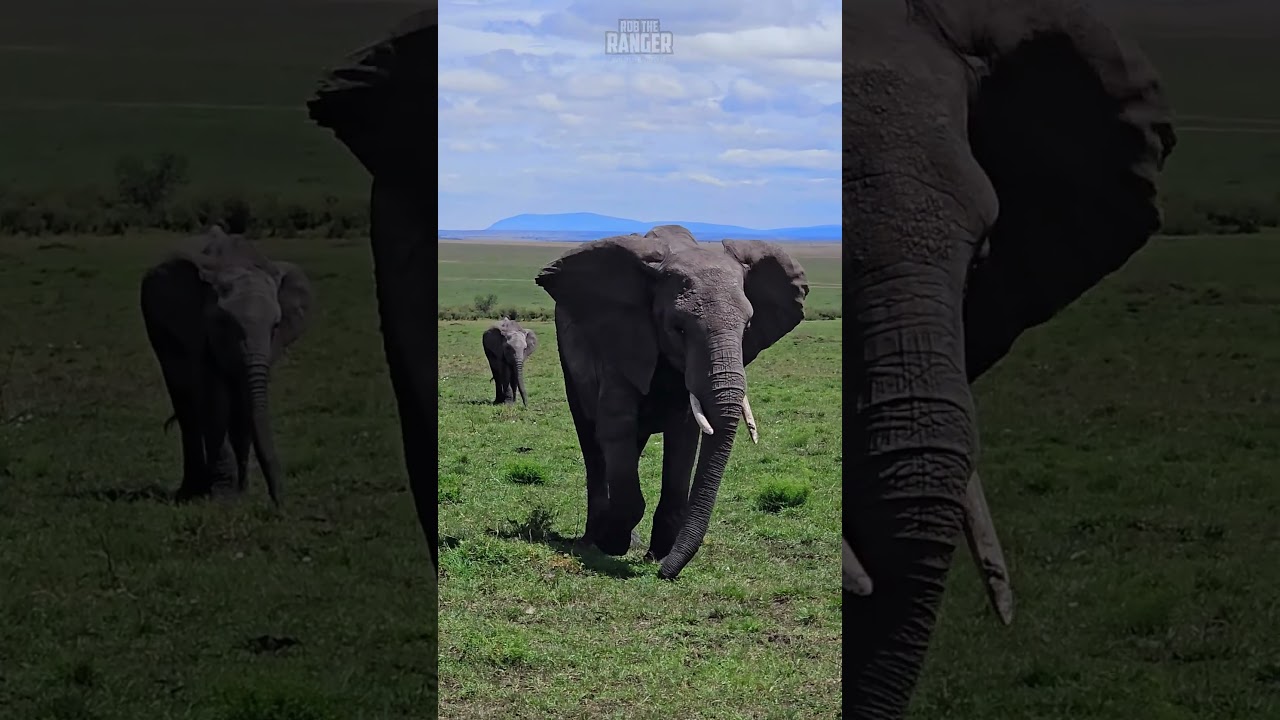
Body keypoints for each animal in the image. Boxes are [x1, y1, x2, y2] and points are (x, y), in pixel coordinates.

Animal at [140, 226, 312, 507]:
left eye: (275, 326)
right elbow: (215, 403)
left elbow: (244, 408)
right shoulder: (199, 330)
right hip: (157, 330)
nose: (279, 506)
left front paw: (241, 492)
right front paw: (223, 498)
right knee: (186, 404)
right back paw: (191, 492)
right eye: (224, 324)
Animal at [535, 225, 809, 580]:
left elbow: (685, 436)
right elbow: (615, 426)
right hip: (567, 354)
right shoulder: (620, 341)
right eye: (678, 328)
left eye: (747, 326)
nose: (666, 573)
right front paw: (614, 544)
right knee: (591, 440)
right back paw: (592, 539)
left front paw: (656, 554)